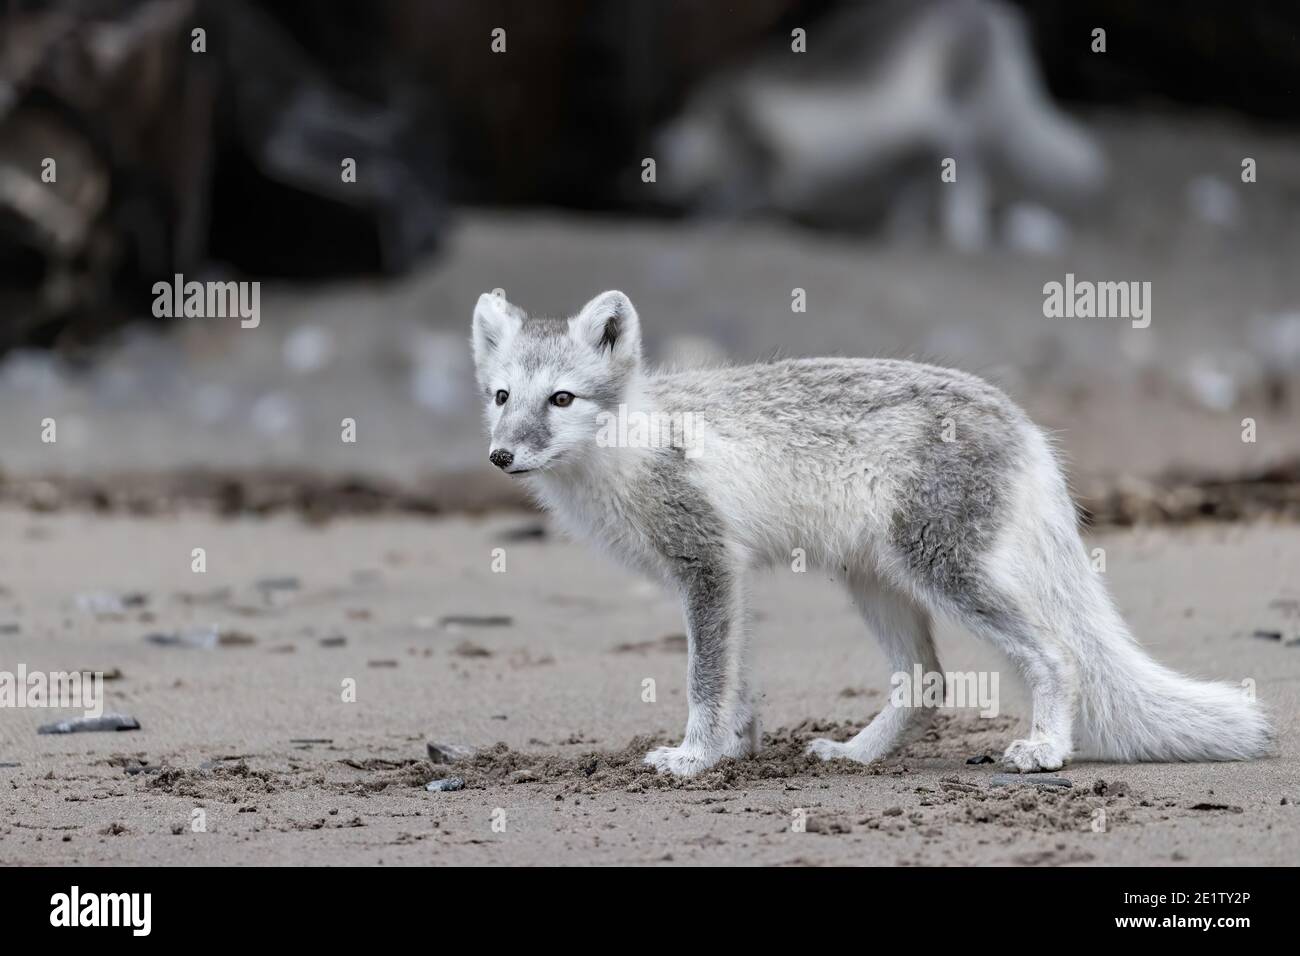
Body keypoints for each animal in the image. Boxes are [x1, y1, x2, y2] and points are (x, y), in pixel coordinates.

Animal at [471, 289, 1273, 777]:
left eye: (562, 399)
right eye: (503, 396)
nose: (501, 456)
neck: (629, 443)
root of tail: (1020, 418)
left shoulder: (707, 565)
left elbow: (704, 680)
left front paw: (694, 757)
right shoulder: (728, 577)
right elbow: (736, 683)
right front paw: (733, 752)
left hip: (939, 569)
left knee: (1055, 653)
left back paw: (1045, 749)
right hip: (875, 580)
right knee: (928, 682)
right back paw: (860, 755)